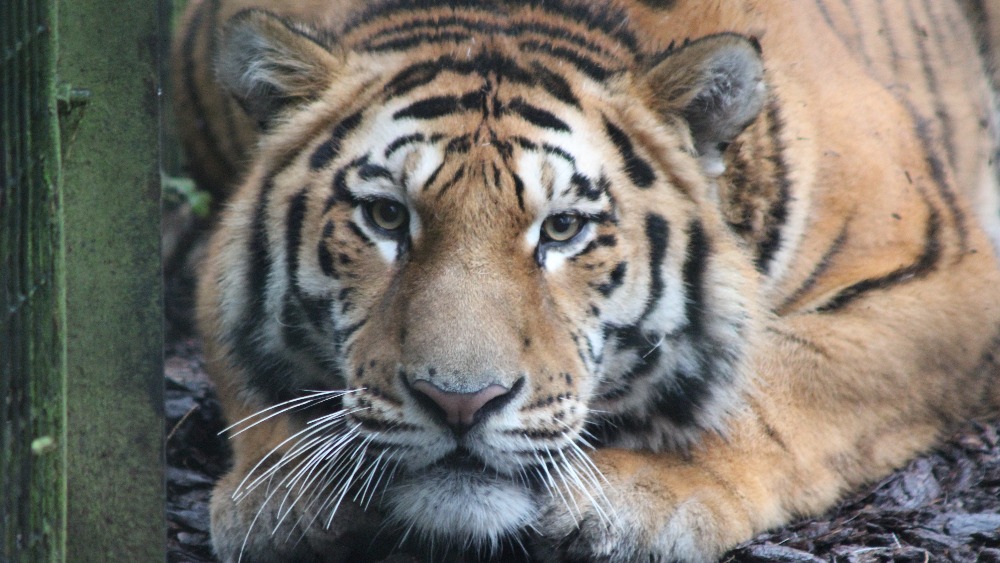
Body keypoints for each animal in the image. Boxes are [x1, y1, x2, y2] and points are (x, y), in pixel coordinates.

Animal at [172, 0, 1000, 561]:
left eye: (563, 228)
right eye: (385, 216)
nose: (459, 401)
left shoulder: (939, 275)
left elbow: (769, 381)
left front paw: (641, 494)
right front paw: (283, 491)